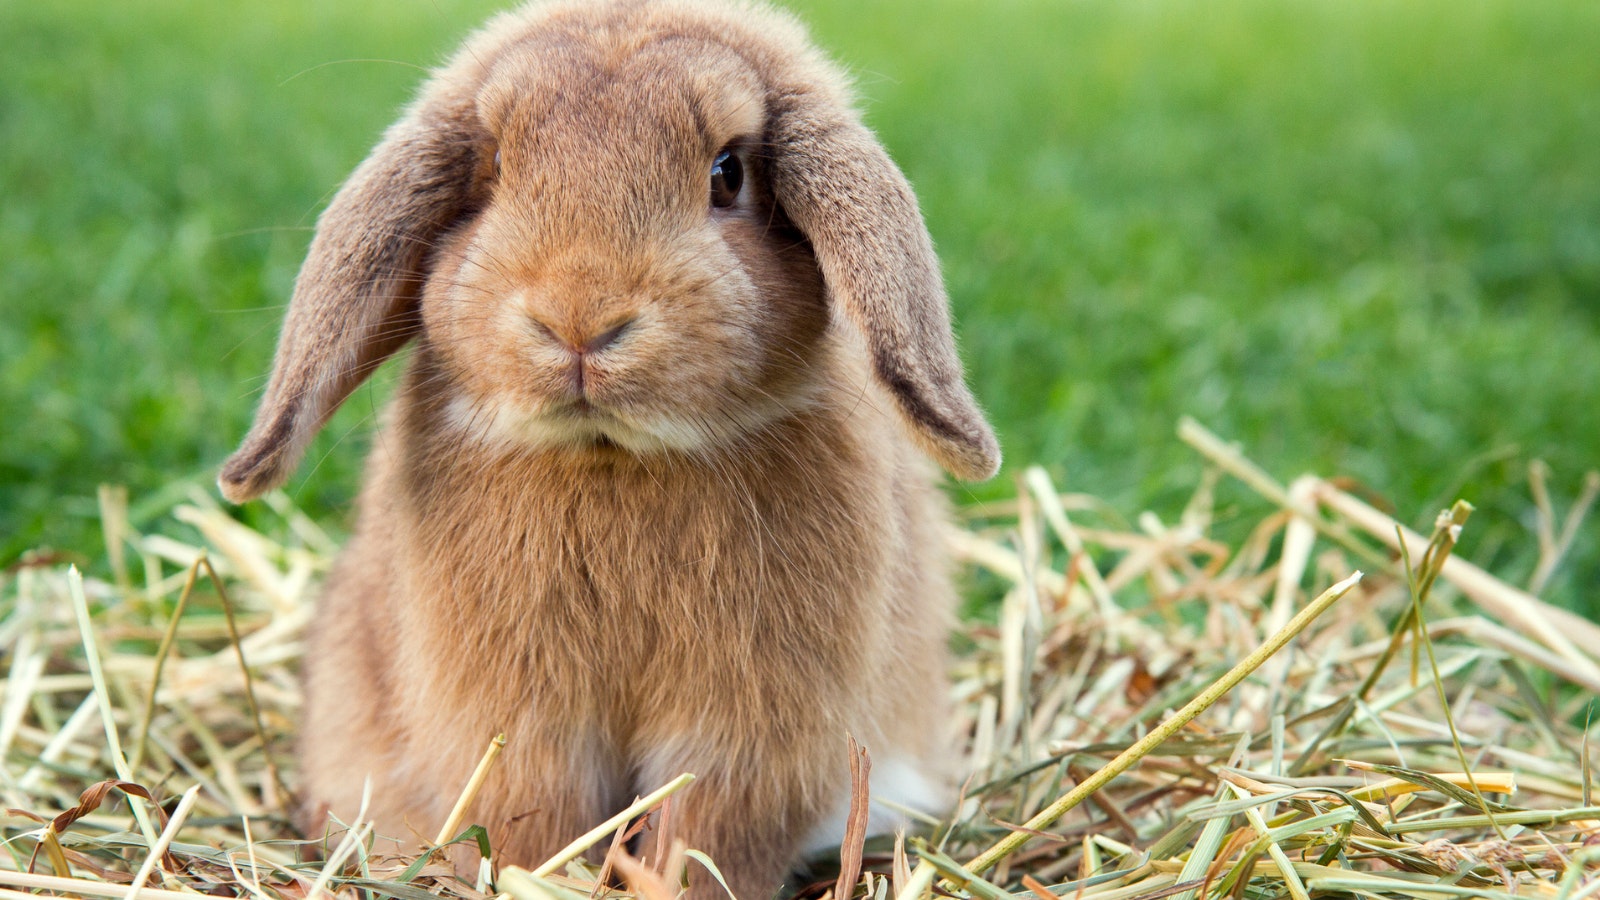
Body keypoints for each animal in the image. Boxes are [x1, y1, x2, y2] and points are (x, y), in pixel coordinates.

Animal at [218, 0, 999, 897]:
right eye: (494, 166)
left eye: (728, 173)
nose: (580, 319)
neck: (612, 457)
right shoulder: (522, 722)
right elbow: (533, 818)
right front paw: (535, 876)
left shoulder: (747, 730)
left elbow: (704, 830)